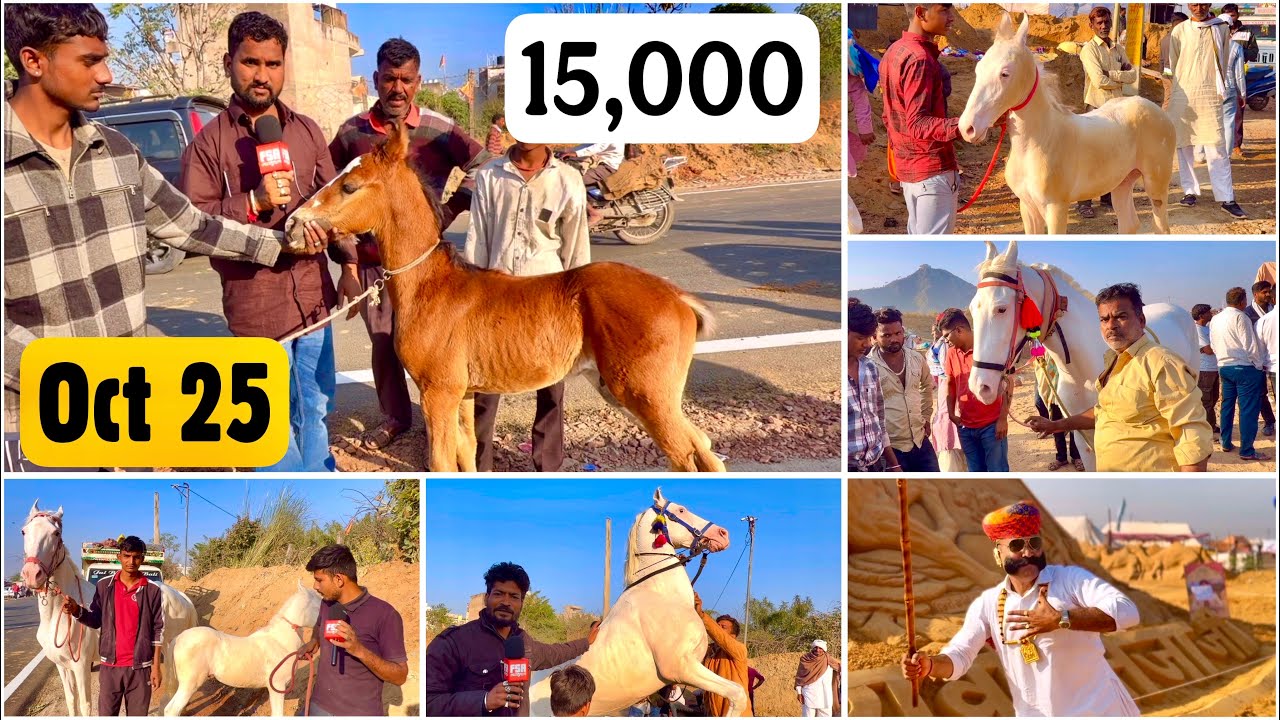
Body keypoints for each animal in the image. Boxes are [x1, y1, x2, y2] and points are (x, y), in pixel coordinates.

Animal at [21, 501, 198, 715]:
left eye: (56, 533)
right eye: (24, 531)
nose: (32, 574)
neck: (56, 617)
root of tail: (183, 598)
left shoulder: (80, 666)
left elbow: (85, 705)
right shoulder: (62, 666)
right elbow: (71, 701)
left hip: (168, 647)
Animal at [164, 580, 322, 716]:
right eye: (321, 606)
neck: (279, 641)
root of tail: (179, 638)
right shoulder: (278, 686)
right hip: (189, 684)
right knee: (171, 710)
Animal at [285, 123, 725, 473]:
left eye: (349, 186)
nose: (293, 224)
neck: (432, 287)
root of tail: (678, 296)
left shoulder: (437, 392)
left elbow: (441, 462)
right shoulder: (462, 393)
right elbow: (466, 453)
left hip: (645, 393)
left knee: (686, 456)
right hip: (642, 394)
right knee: (704, 449)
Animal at [958, 13, 1176, 234]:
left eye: (1005, 73)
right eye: (978, 69)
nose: (968, 128)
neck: (1039, 142)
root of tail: (1160, 112)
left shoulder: (1056, 208)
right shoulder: (1027, 207)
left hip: (1156, 184)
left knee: (1161, 227)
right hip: (1122, 182)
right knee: (1130, 223)